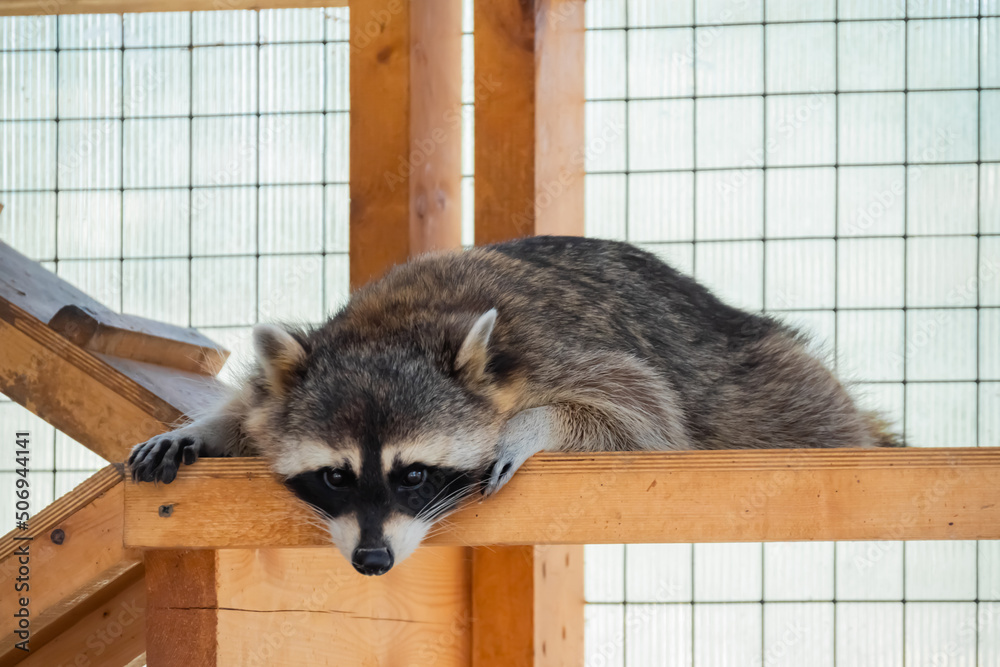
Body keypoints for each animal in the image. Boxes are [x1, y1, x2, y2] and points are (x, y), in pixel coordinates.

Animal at [129, 236, 898, 575]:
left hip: (766, 381)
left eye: (414, 474)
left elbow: (643, 413)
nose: (373, 560)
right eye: (337, 476)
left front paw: (533, 425)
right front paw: (208, 425)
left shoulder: (567, 351)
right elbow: (259, 404)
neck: (393, 325)